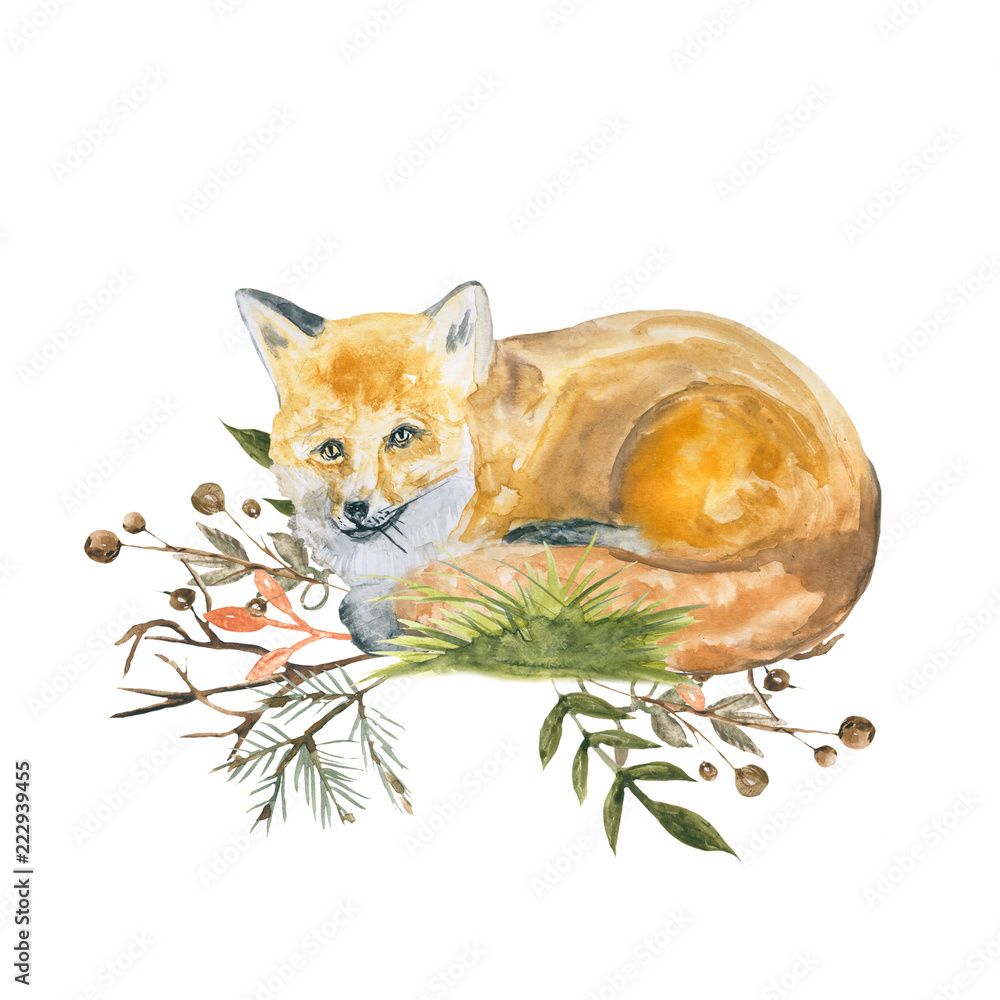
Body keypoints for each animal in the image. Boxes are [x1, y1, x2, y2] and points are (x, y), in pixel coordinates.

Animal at [235, 281, 880, 674]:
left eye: (403, 436)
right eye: (330, 449)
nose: (356, 510)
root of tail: (858, 514)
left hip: (670, 434)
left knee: (672, 552)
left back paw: (567, 533)